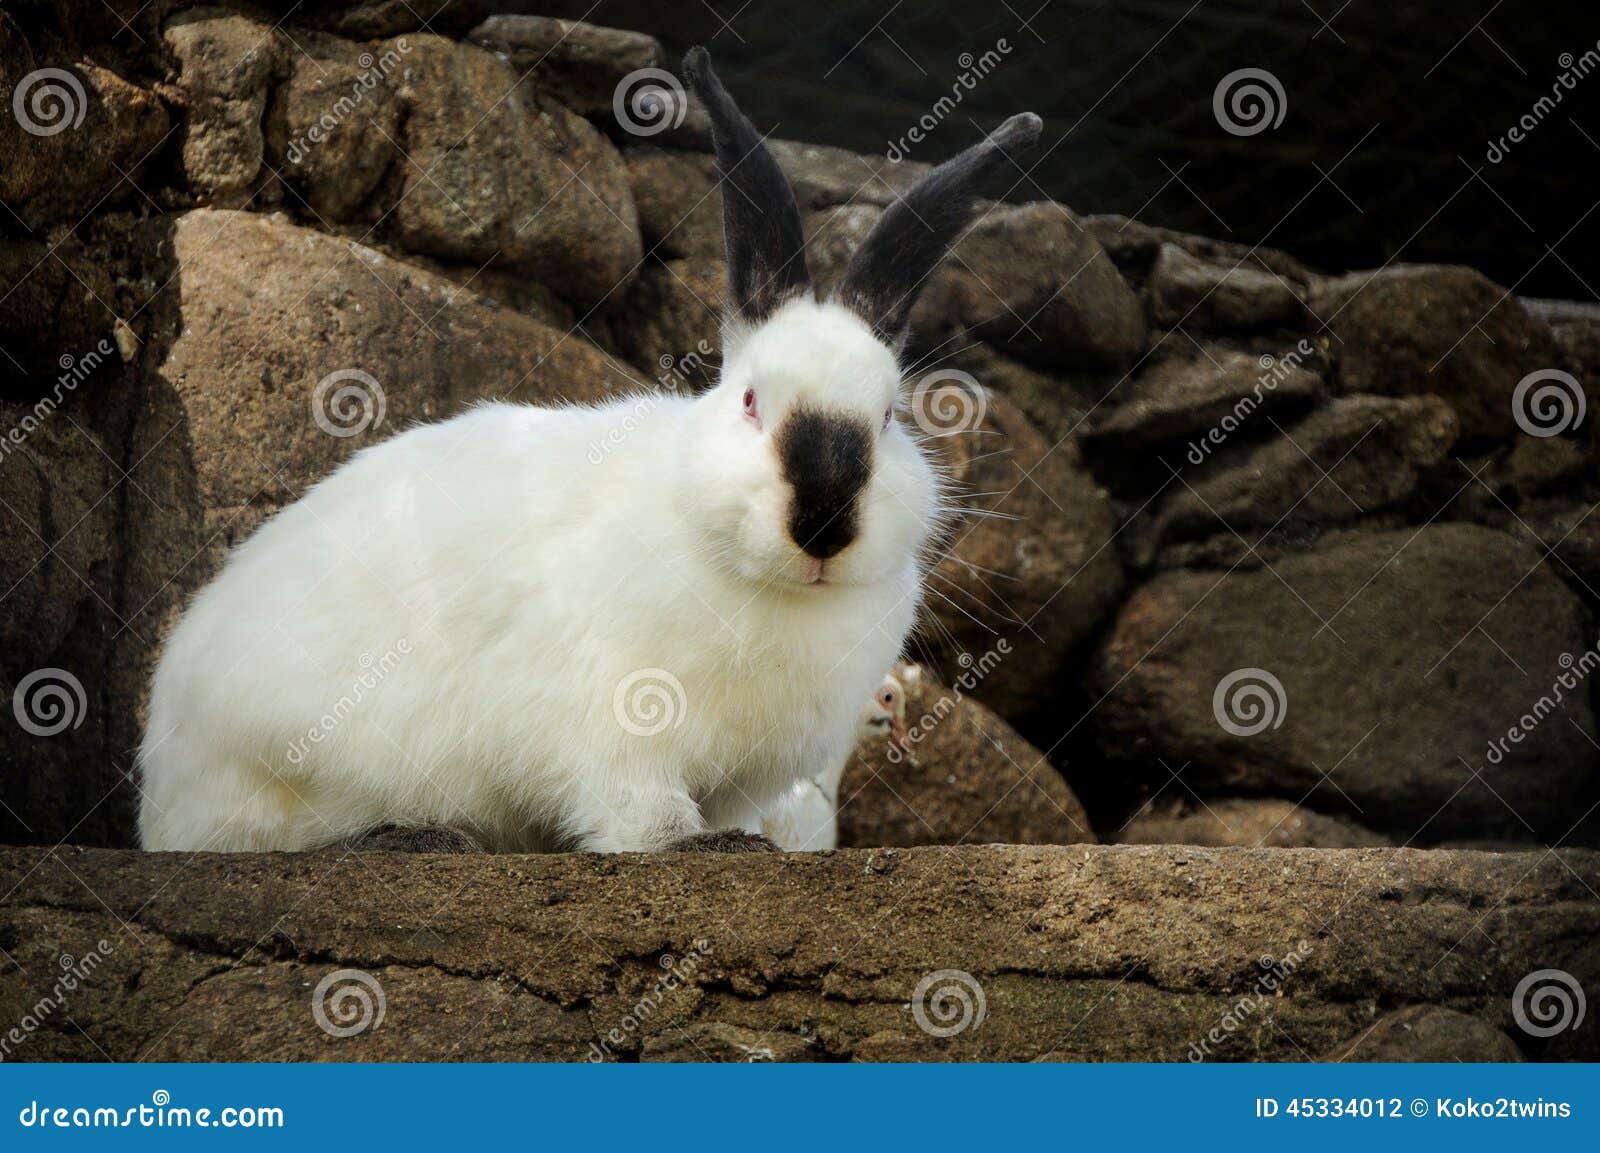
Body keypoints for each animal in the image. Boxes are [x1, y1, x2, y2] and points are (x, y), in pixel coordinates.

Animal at [136, 46, 1043, 855]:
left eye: (888, 417)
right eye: (751, 401)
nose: (823, 525)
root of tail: (160, 781)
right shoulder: (619, 722)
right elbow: (638, 812)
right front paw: (700, 848)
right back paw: (412, 837)